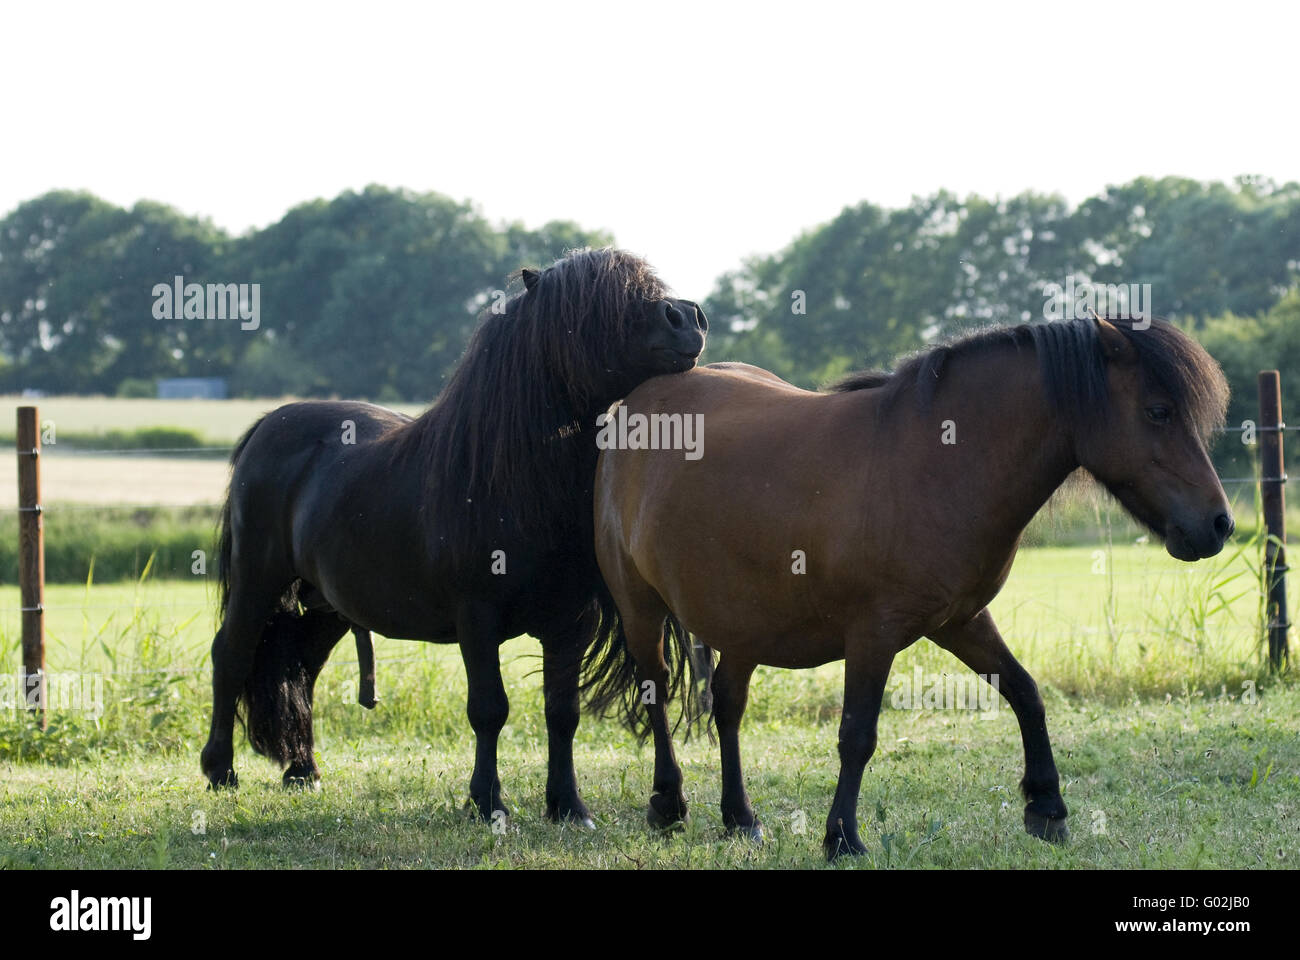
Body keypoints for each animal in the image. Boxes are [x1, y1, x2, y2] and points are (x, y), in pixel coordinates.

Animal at [200, 247, 708, 830]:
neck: (512, 481)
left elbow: (562, 712)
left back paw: (303, 771)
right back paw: (220, 770)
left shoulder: (569, 624)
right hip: (258, 582)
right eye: (596, 302)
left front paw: (568, 806)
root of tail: (267, 425)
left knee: (299, 670)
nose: (688, 318)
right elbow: (489, 709)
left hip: (323, 606)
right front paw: (488, 804)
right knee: (231, 654)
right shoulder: (476, 617)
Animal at [587, 315, 1232, 858]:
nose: (1218, 525)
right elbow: (857, 734)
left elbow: (1026, 693)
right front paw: (842, 838)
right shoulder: (874, 633)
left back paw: (740, 818)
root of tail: (636, 403)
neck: (937, 462)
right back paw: (668, 804)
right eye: (1158, 411)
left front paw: (1047, 808)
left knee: (727, 703)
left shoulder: (960, 621)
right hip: (640, 606)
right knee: (656, 692)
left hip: (744, 622)